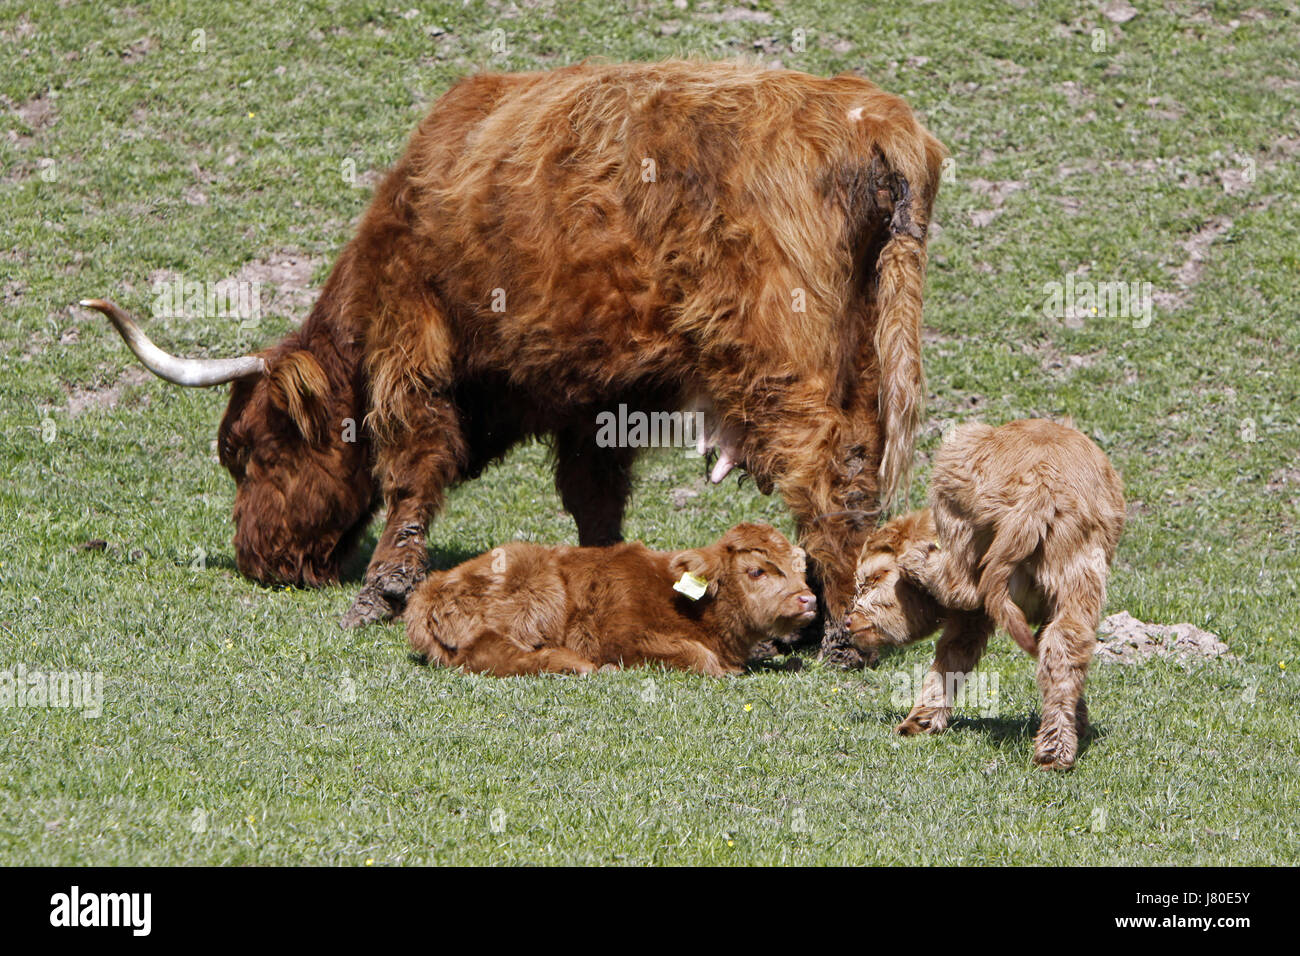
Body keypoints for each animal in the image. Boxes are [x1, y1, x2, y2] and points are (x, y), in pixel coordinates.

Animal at [404, 523, 816, 677]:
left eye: (801, 568)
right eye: (757, 571)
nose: (808, 600)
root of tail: (427, 591)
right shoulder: (622, 637)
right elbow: (698, 657)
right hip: (537, 593)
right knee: (492, 653)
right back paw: (577, 664)